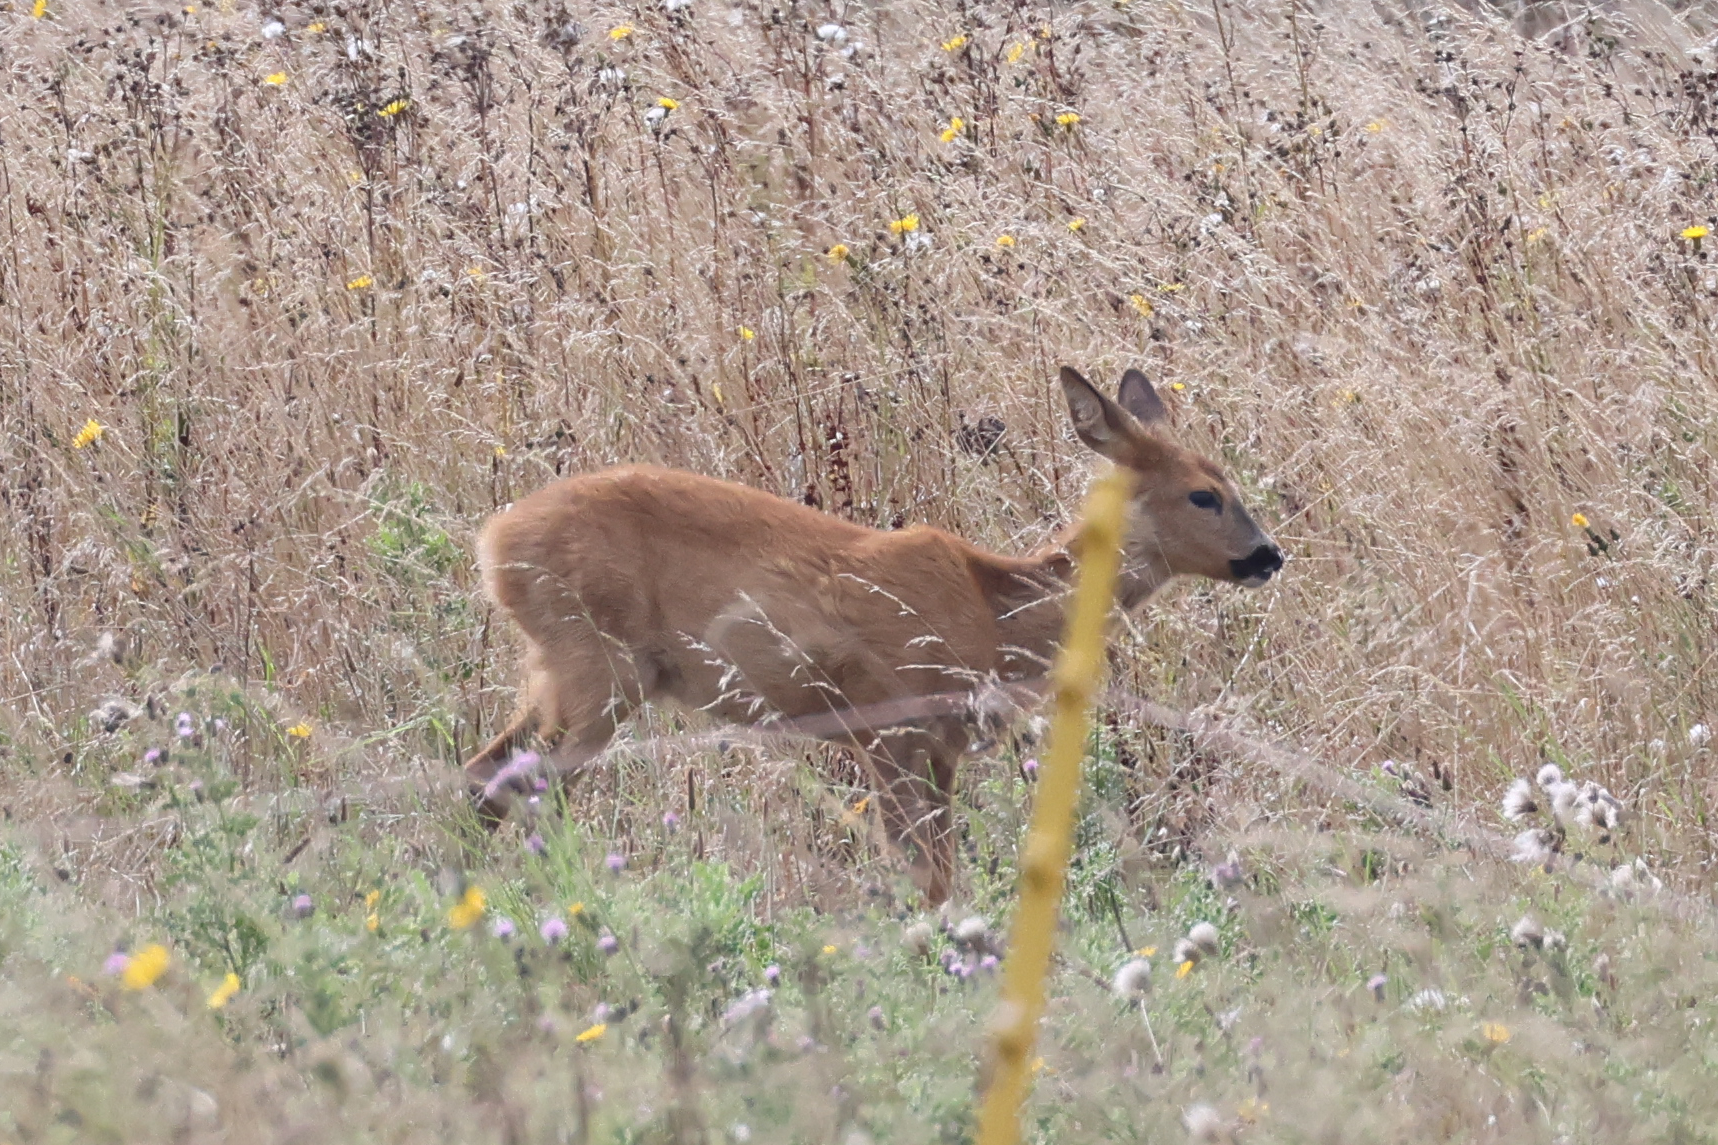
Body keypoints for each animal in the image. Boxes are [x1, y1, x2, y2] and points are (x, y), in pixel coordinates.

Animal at [462, 366, 1282, 905]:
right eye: (1203, 495)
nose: (1269, 555)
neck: (999, 611)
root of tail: (494, 539)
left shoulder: (941, 746)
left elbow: (940, 871)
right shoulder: (890, 723)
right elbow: (924, 874)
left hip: (569, 667)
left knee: (487, 775)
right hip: (597, 662)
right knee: (513, 782)